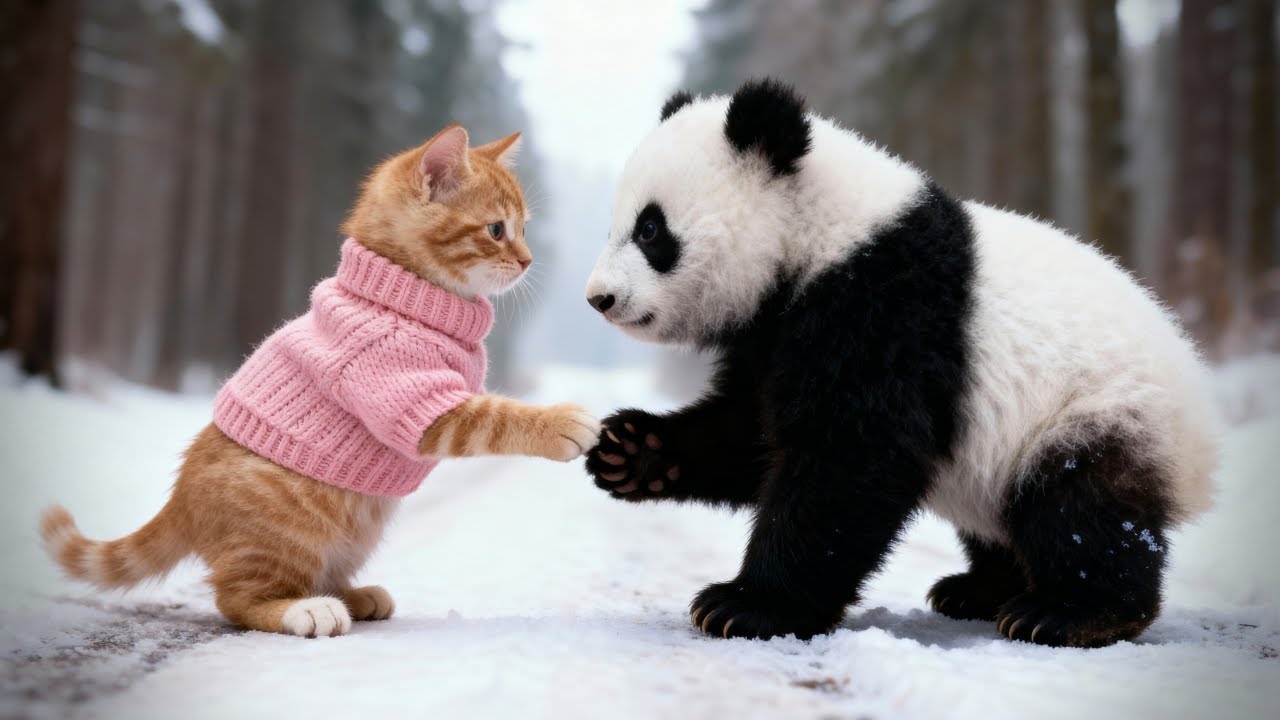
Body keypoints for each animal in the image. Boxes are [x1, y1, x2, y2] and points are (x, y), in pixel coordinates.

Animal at [582, 79, 1219, 648]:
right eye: (617, 225)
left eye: (650, 229)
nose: (600, 298)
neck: (817, 234)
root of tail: (1200, 451)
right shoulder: (774, 334)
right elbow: (750, 434)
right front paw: (631, 450)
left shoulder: (883, 308)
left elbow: (850, 456)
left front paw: (745, 606)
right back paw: (979, 589)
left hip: (1098, 410)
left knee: (1080, 508)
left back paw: (1068, 613)